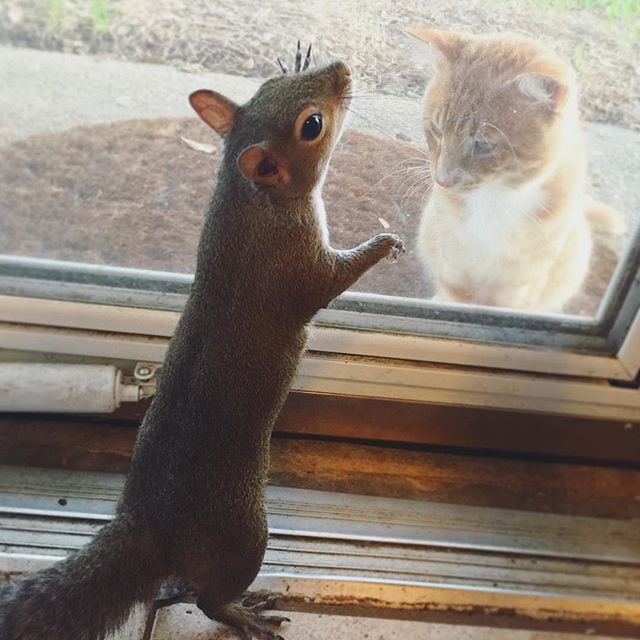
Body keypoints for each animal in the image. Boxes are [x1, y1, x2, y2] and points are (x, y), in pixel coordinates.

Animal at [0, 59, 404, 640]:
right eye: (312, 125)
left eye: (273, 82)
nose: (342, 68)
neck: (245, 198)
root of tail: (153, 535)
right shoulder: (296, 266)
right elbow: (331, 283)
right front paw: (383, 244)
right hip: (243, 537)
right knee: (212, 598)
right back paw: (240, 613)